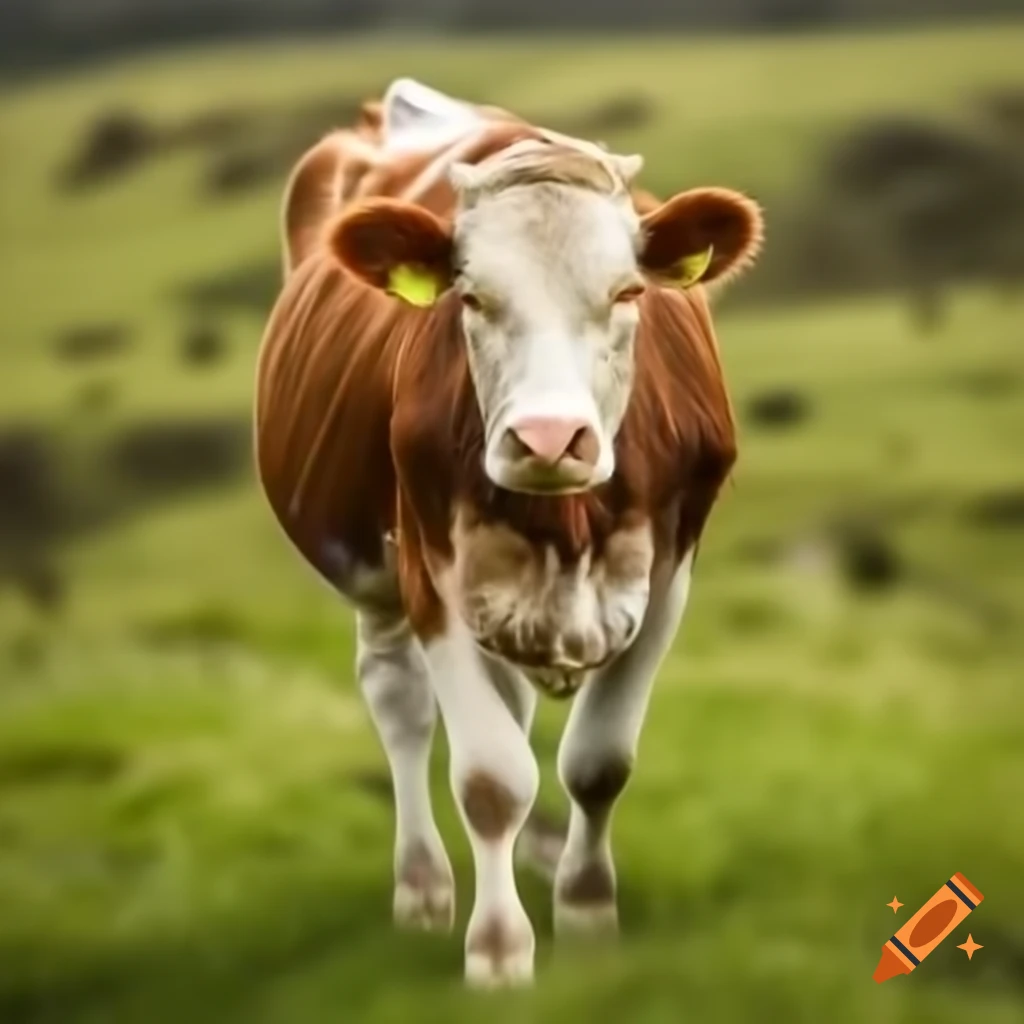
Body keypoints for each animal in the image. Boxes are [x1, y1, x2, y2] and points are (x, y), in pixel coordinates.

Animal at [254, 78, 764, 988]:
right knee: (400, 704)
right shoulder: (434, 575)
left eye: (628, 293)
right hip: (377, 581)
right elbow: (491, 780)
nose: (551, 437)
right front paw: (498, 952)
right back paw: (422, 890)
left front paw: (588, 915)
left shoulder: (669, 578)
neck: (567, 522)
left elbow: (599, 763)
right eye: (473, 297)